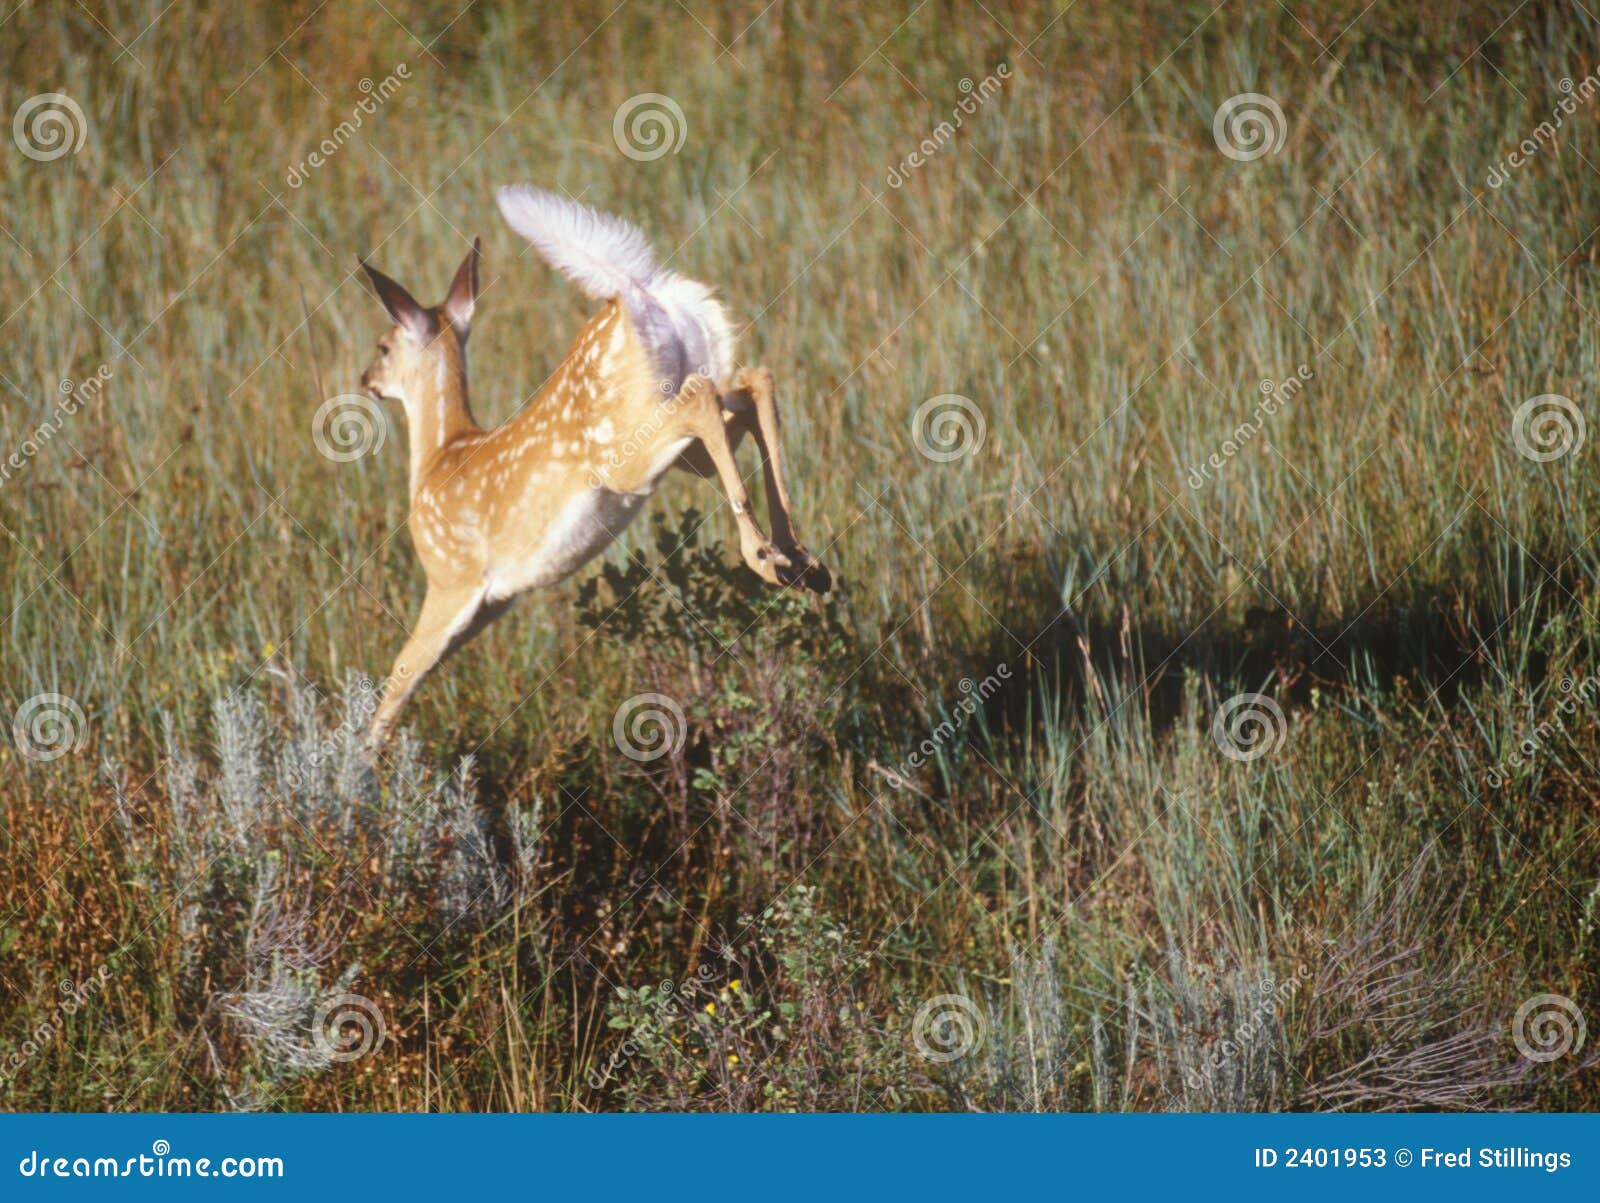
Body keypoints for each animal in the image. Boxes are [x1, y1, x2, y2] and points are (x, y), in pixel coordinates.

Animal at [356, 187, 831, 747]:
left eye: (383, 345)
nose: (366, 379)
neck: (438, 456)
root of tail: (633, 293)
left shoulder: (451, 579)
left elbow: (400, 677)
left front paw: (362, 764)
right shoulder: (491, 602)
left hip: (627, 450)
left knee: (705, 398)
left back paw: (763, 556)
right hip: (683, 433)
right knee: (754, 384)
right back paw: (800, 559)